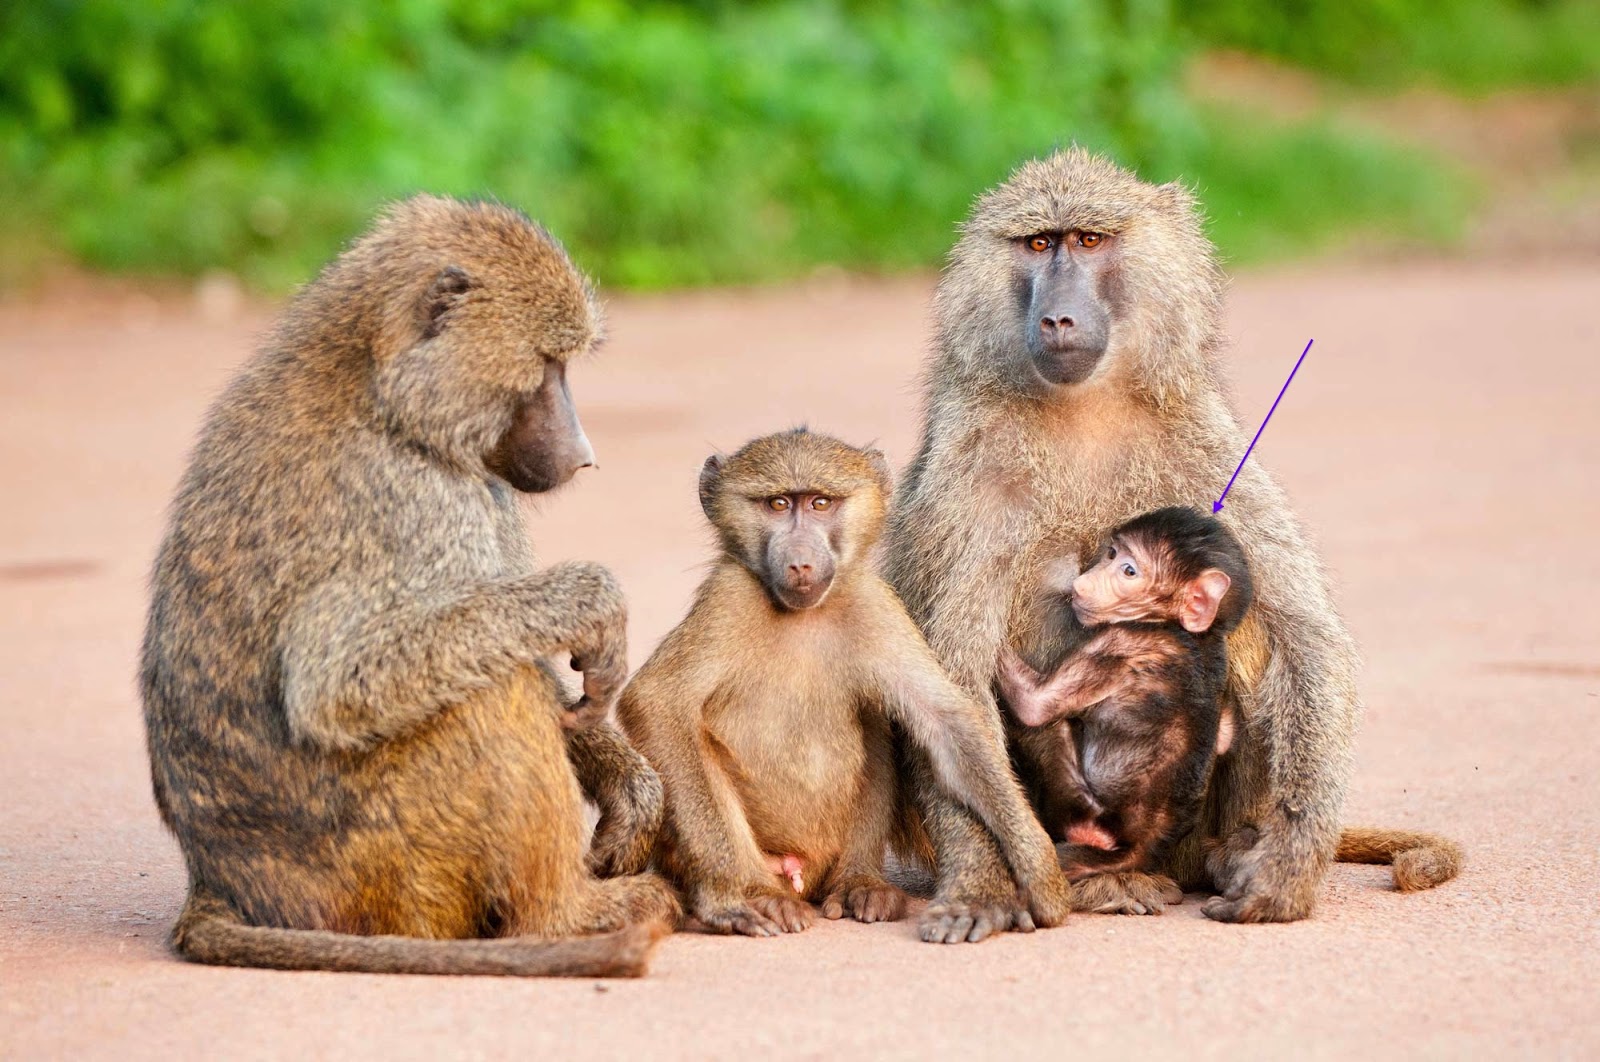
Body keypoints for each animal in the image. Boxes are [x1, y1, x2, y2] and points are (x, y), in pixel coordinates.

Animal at [140, 195, 679, 977]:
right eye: (548, 365)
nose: (583, 457)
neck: (382, 394)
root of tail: (220, 883)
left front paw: (625, 783)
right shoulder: (407, 499)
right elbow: (336, 688)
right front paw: (593, 599)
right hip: (388, 874)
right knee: (487, 695)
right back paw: (569, 915)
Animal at [617, 429, 1074, 938]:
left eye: (821, 503)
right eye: (778, 504)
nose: (800, 563)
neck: (804, 613)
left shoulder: (874, 602)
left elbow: (946, 723)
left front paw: (1040, 871)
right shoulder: (729, 598)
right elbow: (655, 702)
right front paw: (727, 899)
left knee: (880, 725)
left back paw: (861, 883)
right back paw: (760, 893)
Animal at [997, 507, 1252, 891]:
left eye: (1129, 571)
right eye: (1112, 554)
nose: (1082, 583)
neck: (1183, 630)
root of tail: (1142, 849)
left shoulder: (1120, 643)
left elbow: (1035, 707)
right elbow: (1225, 734)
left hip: (1082, 815)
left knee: (1048, 729)